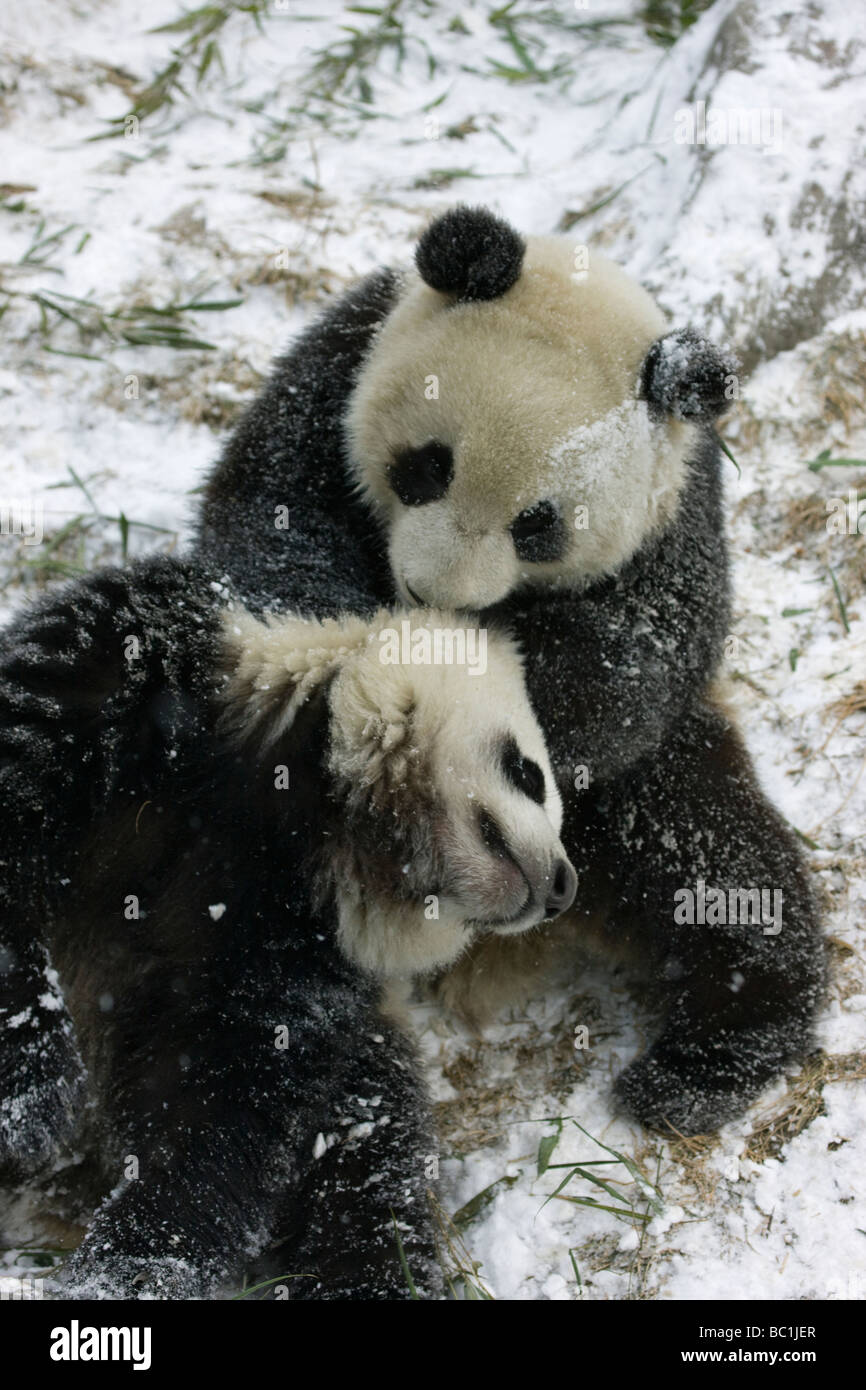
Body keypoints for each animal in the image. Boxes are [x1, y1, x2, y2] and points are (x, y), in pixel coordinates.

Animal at [0, 555, 574, 1299]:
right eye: (530, 773)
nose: (563, 886)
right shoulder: (155, 670)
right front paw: (31, 1101)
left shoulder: (301, 945)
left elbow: (227, 1099)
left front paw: (132, 1269)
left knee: (370, 1145)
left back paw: (374, 1275)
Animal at [195, 205, 826, 1136]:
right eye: (428, 464)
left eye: (539, 526)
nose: (431, 592)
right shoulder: (334, 371)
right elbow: (269, 532)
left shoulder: (679, 506)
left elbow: (635, 654)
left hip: (658, 796)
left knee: (722, 867)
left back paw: (704, 1061)